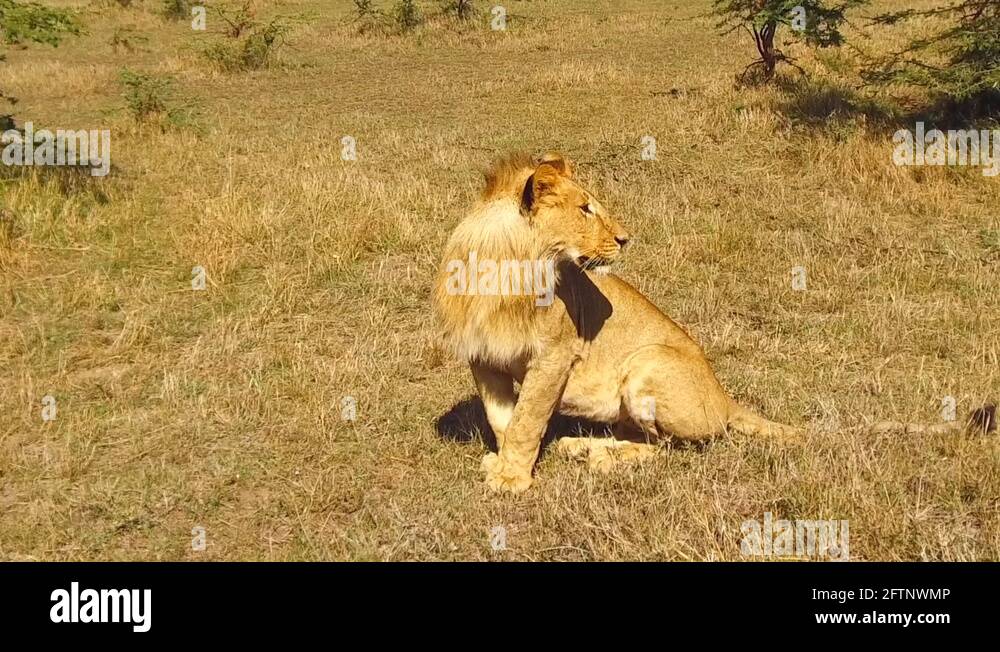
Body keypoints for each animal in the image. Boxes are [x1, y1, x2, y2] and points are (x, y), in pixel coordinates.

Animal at [433, 153, 996, 493]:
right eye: (584, 209)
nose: (625, 238)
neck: (503, 269)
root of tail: (726, 397)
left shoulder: (555, 355)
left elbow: (527, 419)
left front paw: (511, 478)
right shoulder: (483, 357)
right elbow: (504, 417)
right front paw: (504, 464)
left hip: (647, 366)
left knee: (674, 450)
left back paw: (592, 455)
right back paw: (581, 448)